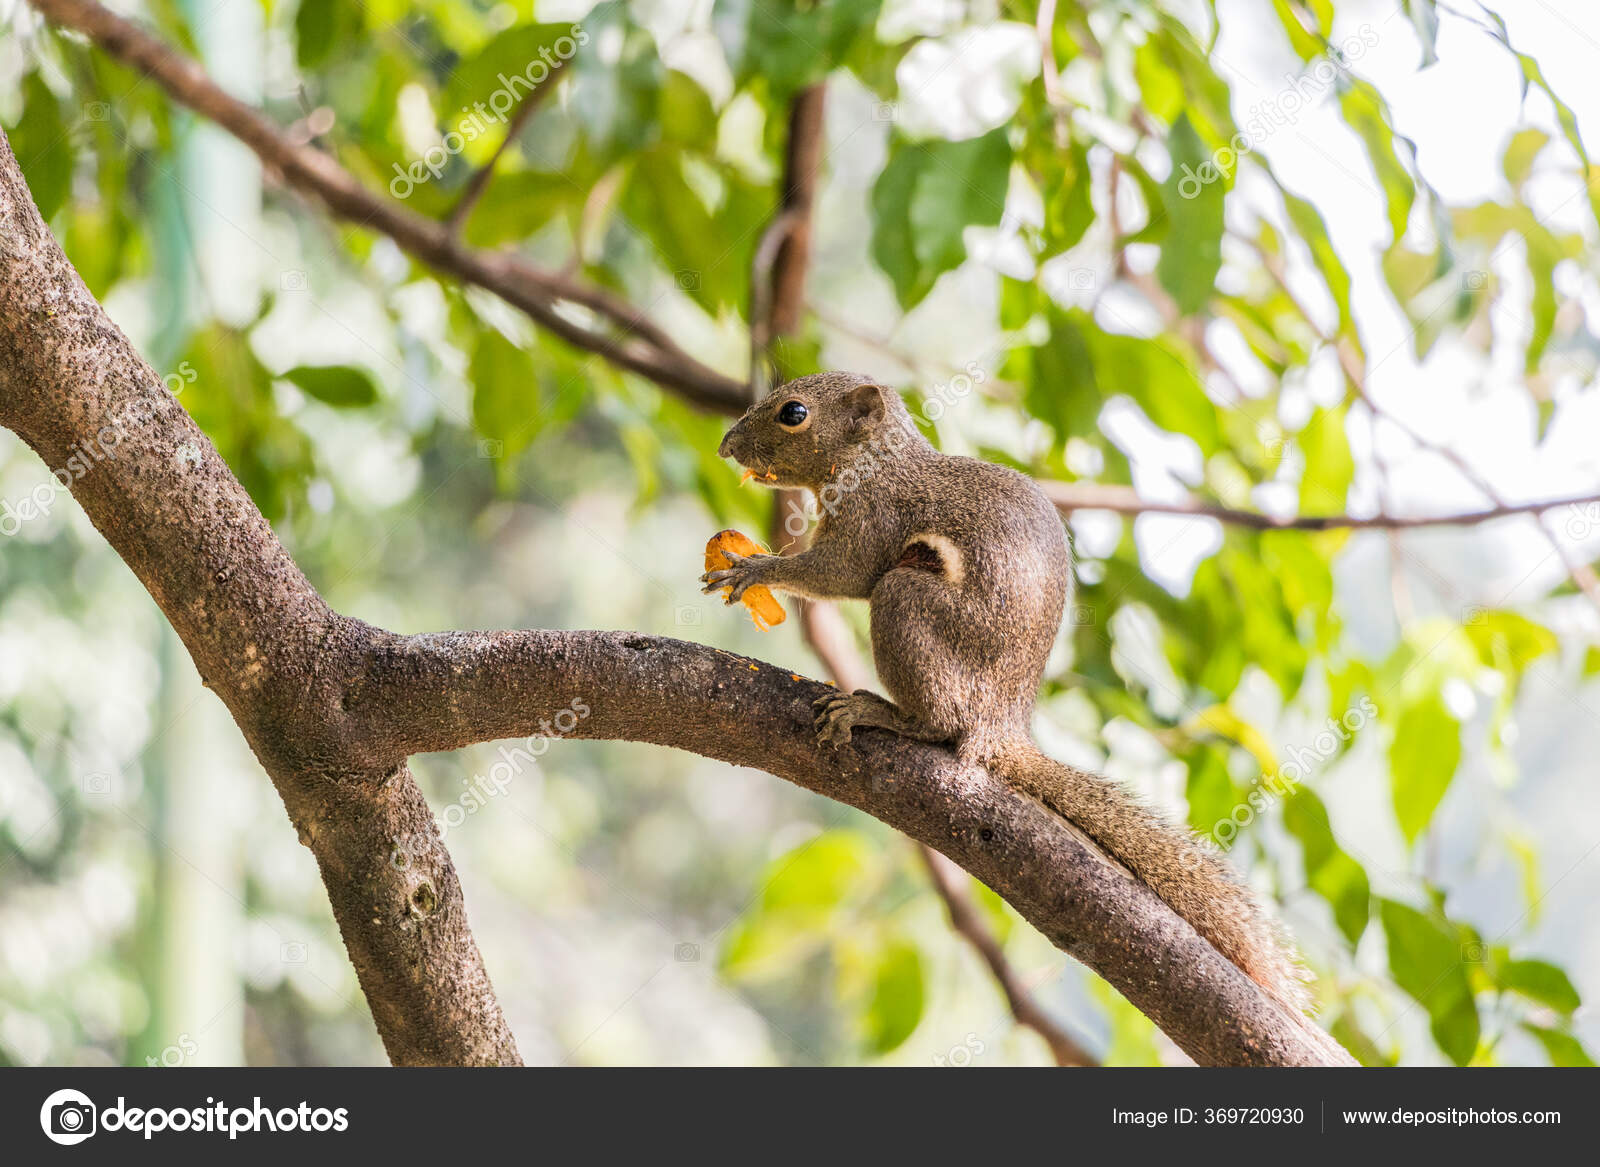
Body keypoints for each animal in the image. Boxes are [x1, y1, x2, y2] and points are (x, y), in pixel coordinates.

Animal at [701, 371, 1311, 1016]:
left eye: (794, 413)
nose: (726, 445)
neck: (879, 461)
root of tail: (1001, 725)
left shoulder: (874, 517)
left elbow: (841, 573)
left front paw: (753, 570)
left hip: (907, 605)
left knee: (939, 720)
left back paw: (875, 711)